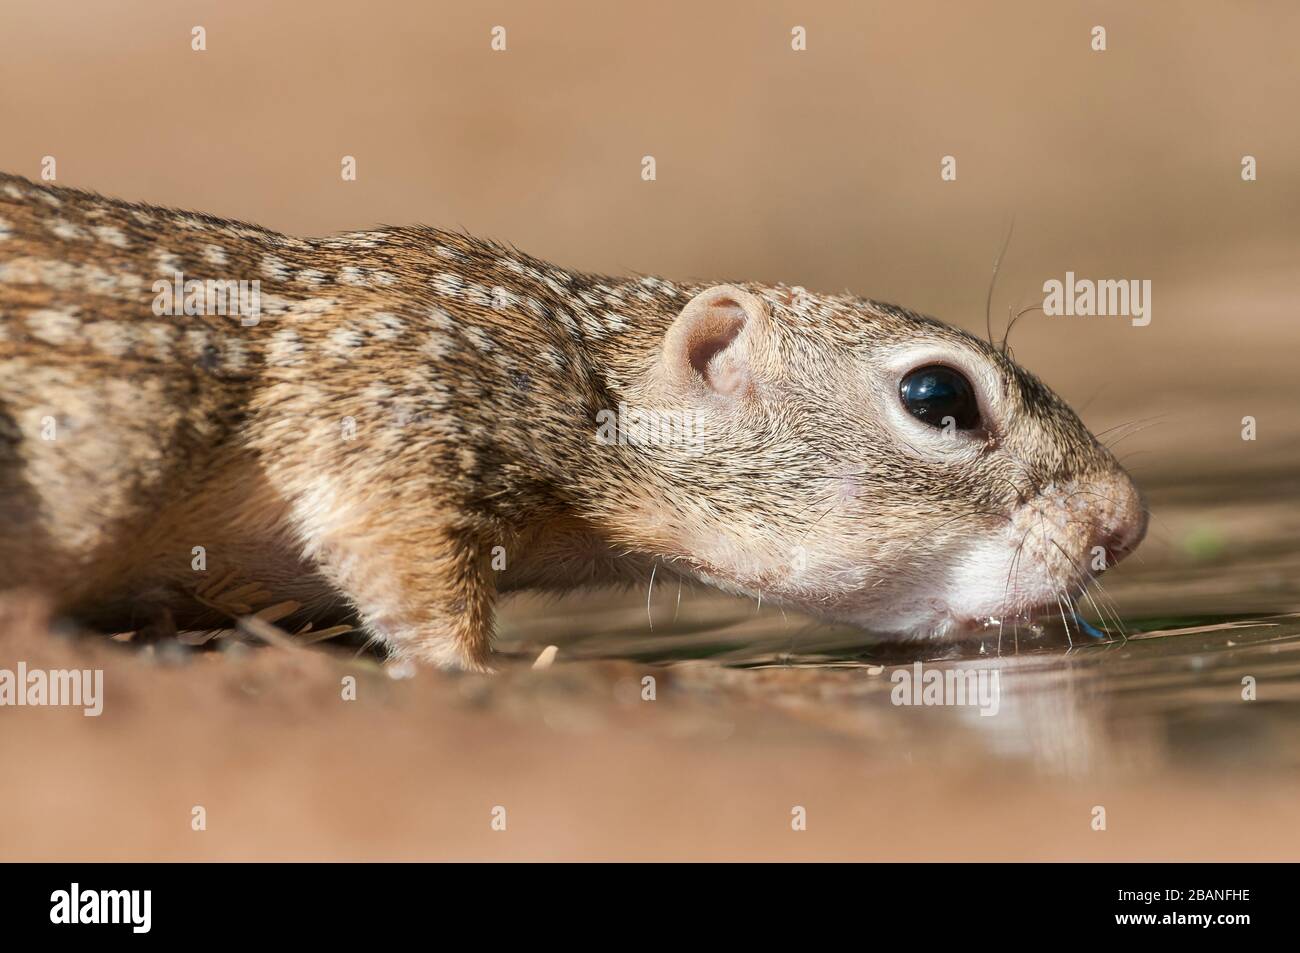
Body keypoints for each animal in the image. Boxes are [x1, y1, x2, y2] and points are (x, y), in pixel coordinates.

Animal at [0, 173, 1146, 670]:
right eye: (937, 397)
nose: (1125, 520)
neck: (585, 377)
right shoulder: (399, 408)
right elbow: (409, 569)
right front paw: (481, 670)